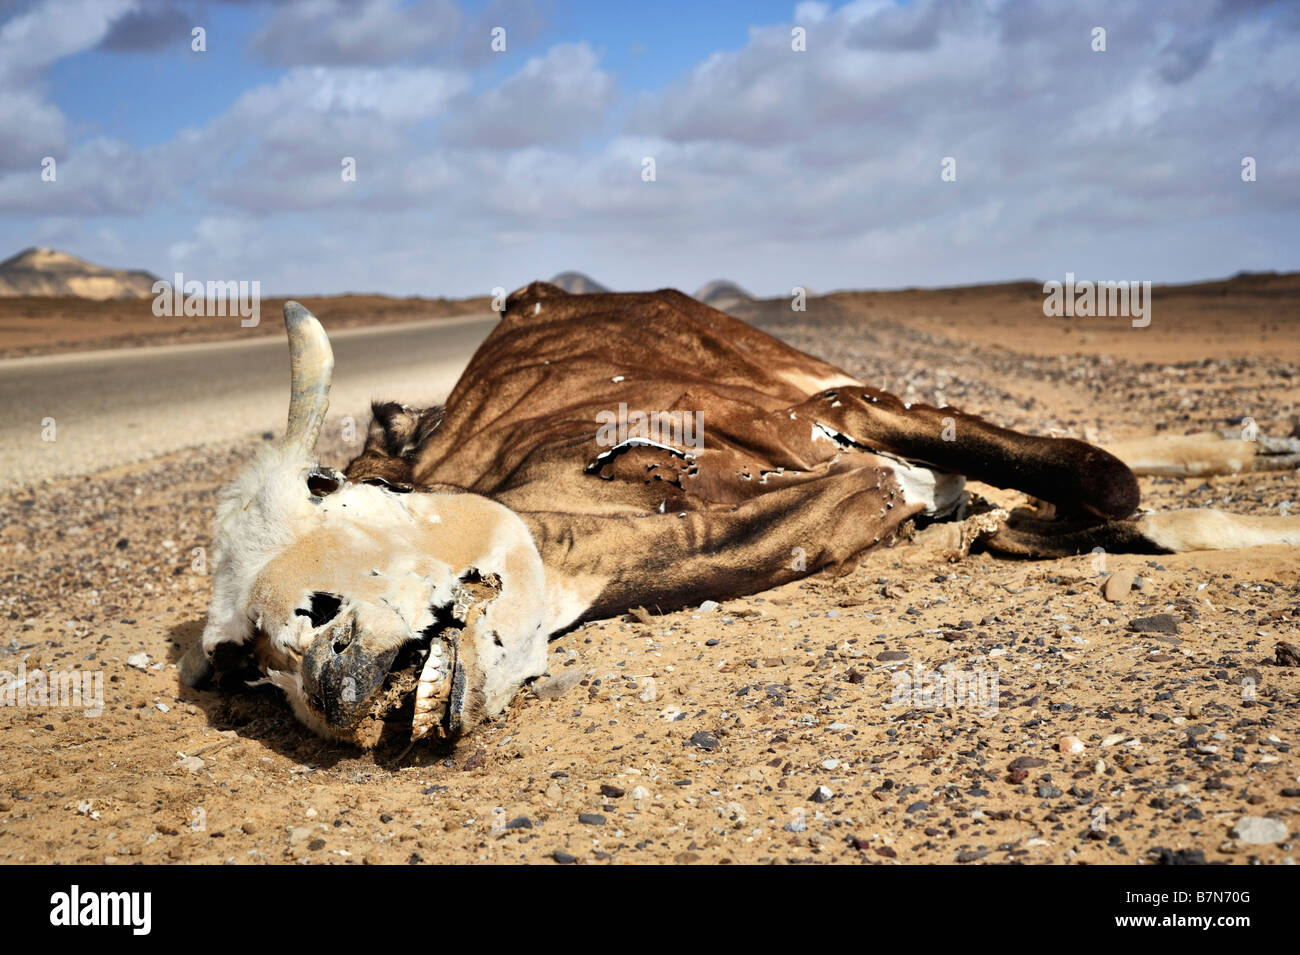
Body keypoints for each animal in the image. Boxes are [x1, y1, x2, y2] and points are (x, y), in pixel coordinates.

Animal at [183, 282, 1300, 748]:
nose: (322, 677)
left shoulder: (849, 409)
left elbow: (1099, 474)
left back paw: (1248, 444)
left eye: (331, 490)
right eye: (240, 660)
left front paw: (1047, 524)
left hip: (810, 367)